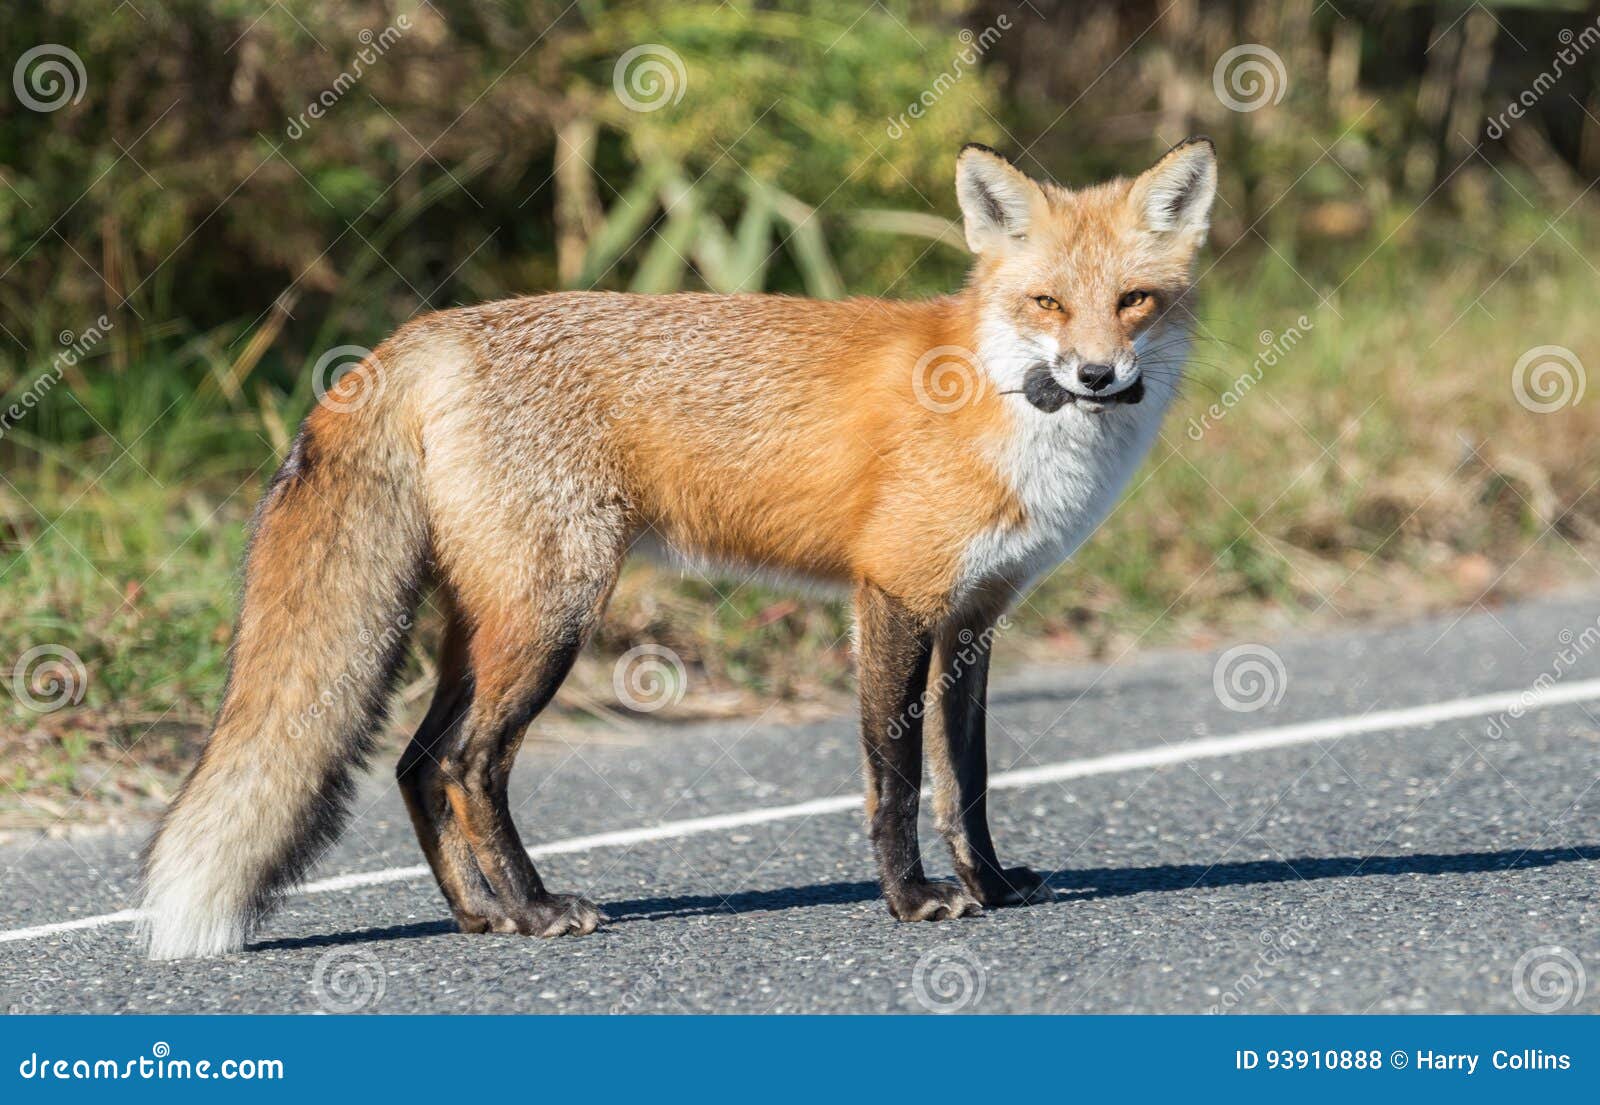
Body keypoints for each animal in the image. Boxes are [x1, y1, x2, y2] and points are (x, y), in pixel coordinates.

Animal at [140, 137, 1218, 959]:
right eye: (1047, 303)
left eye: (1135, 300)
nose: (1096, 373)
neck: (1004, 408)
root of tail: (431, 328)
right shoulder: (894, 595)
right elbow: (898, 776)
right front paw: (913, 901)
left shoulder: (975, 618)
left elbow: (969, 781)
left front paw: (989, 884)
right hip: (555, 615)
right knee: (468, 763)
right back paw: (535, 907)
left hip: (490, 621)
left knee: (415, 762)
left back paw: (480, 915)